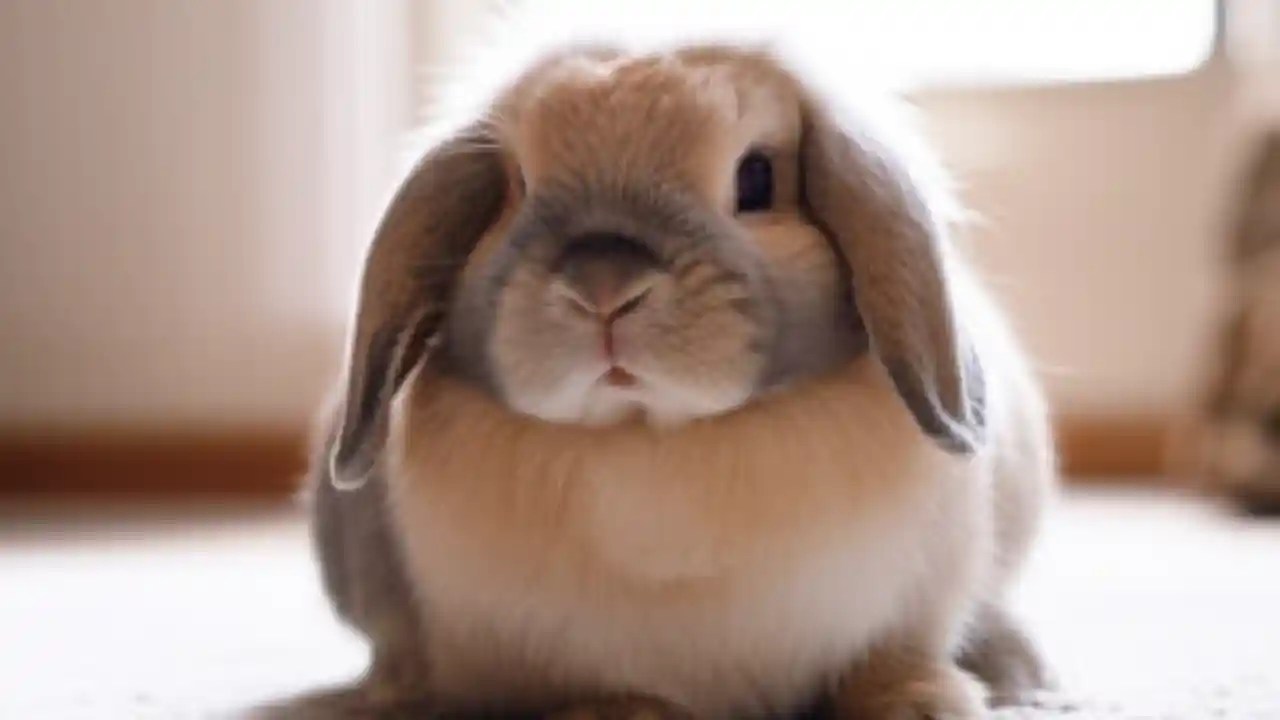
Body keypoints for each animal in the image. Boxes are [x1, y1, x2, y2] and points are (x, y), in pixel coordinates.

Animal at [312, 38, 1056, 720]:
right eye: (516, 184)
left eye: (756, 178)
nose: (603, 288)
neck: (651, 436)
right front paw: (620, 715)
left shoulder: (915, 604)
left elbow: (891, 661)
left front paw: (926, 703)